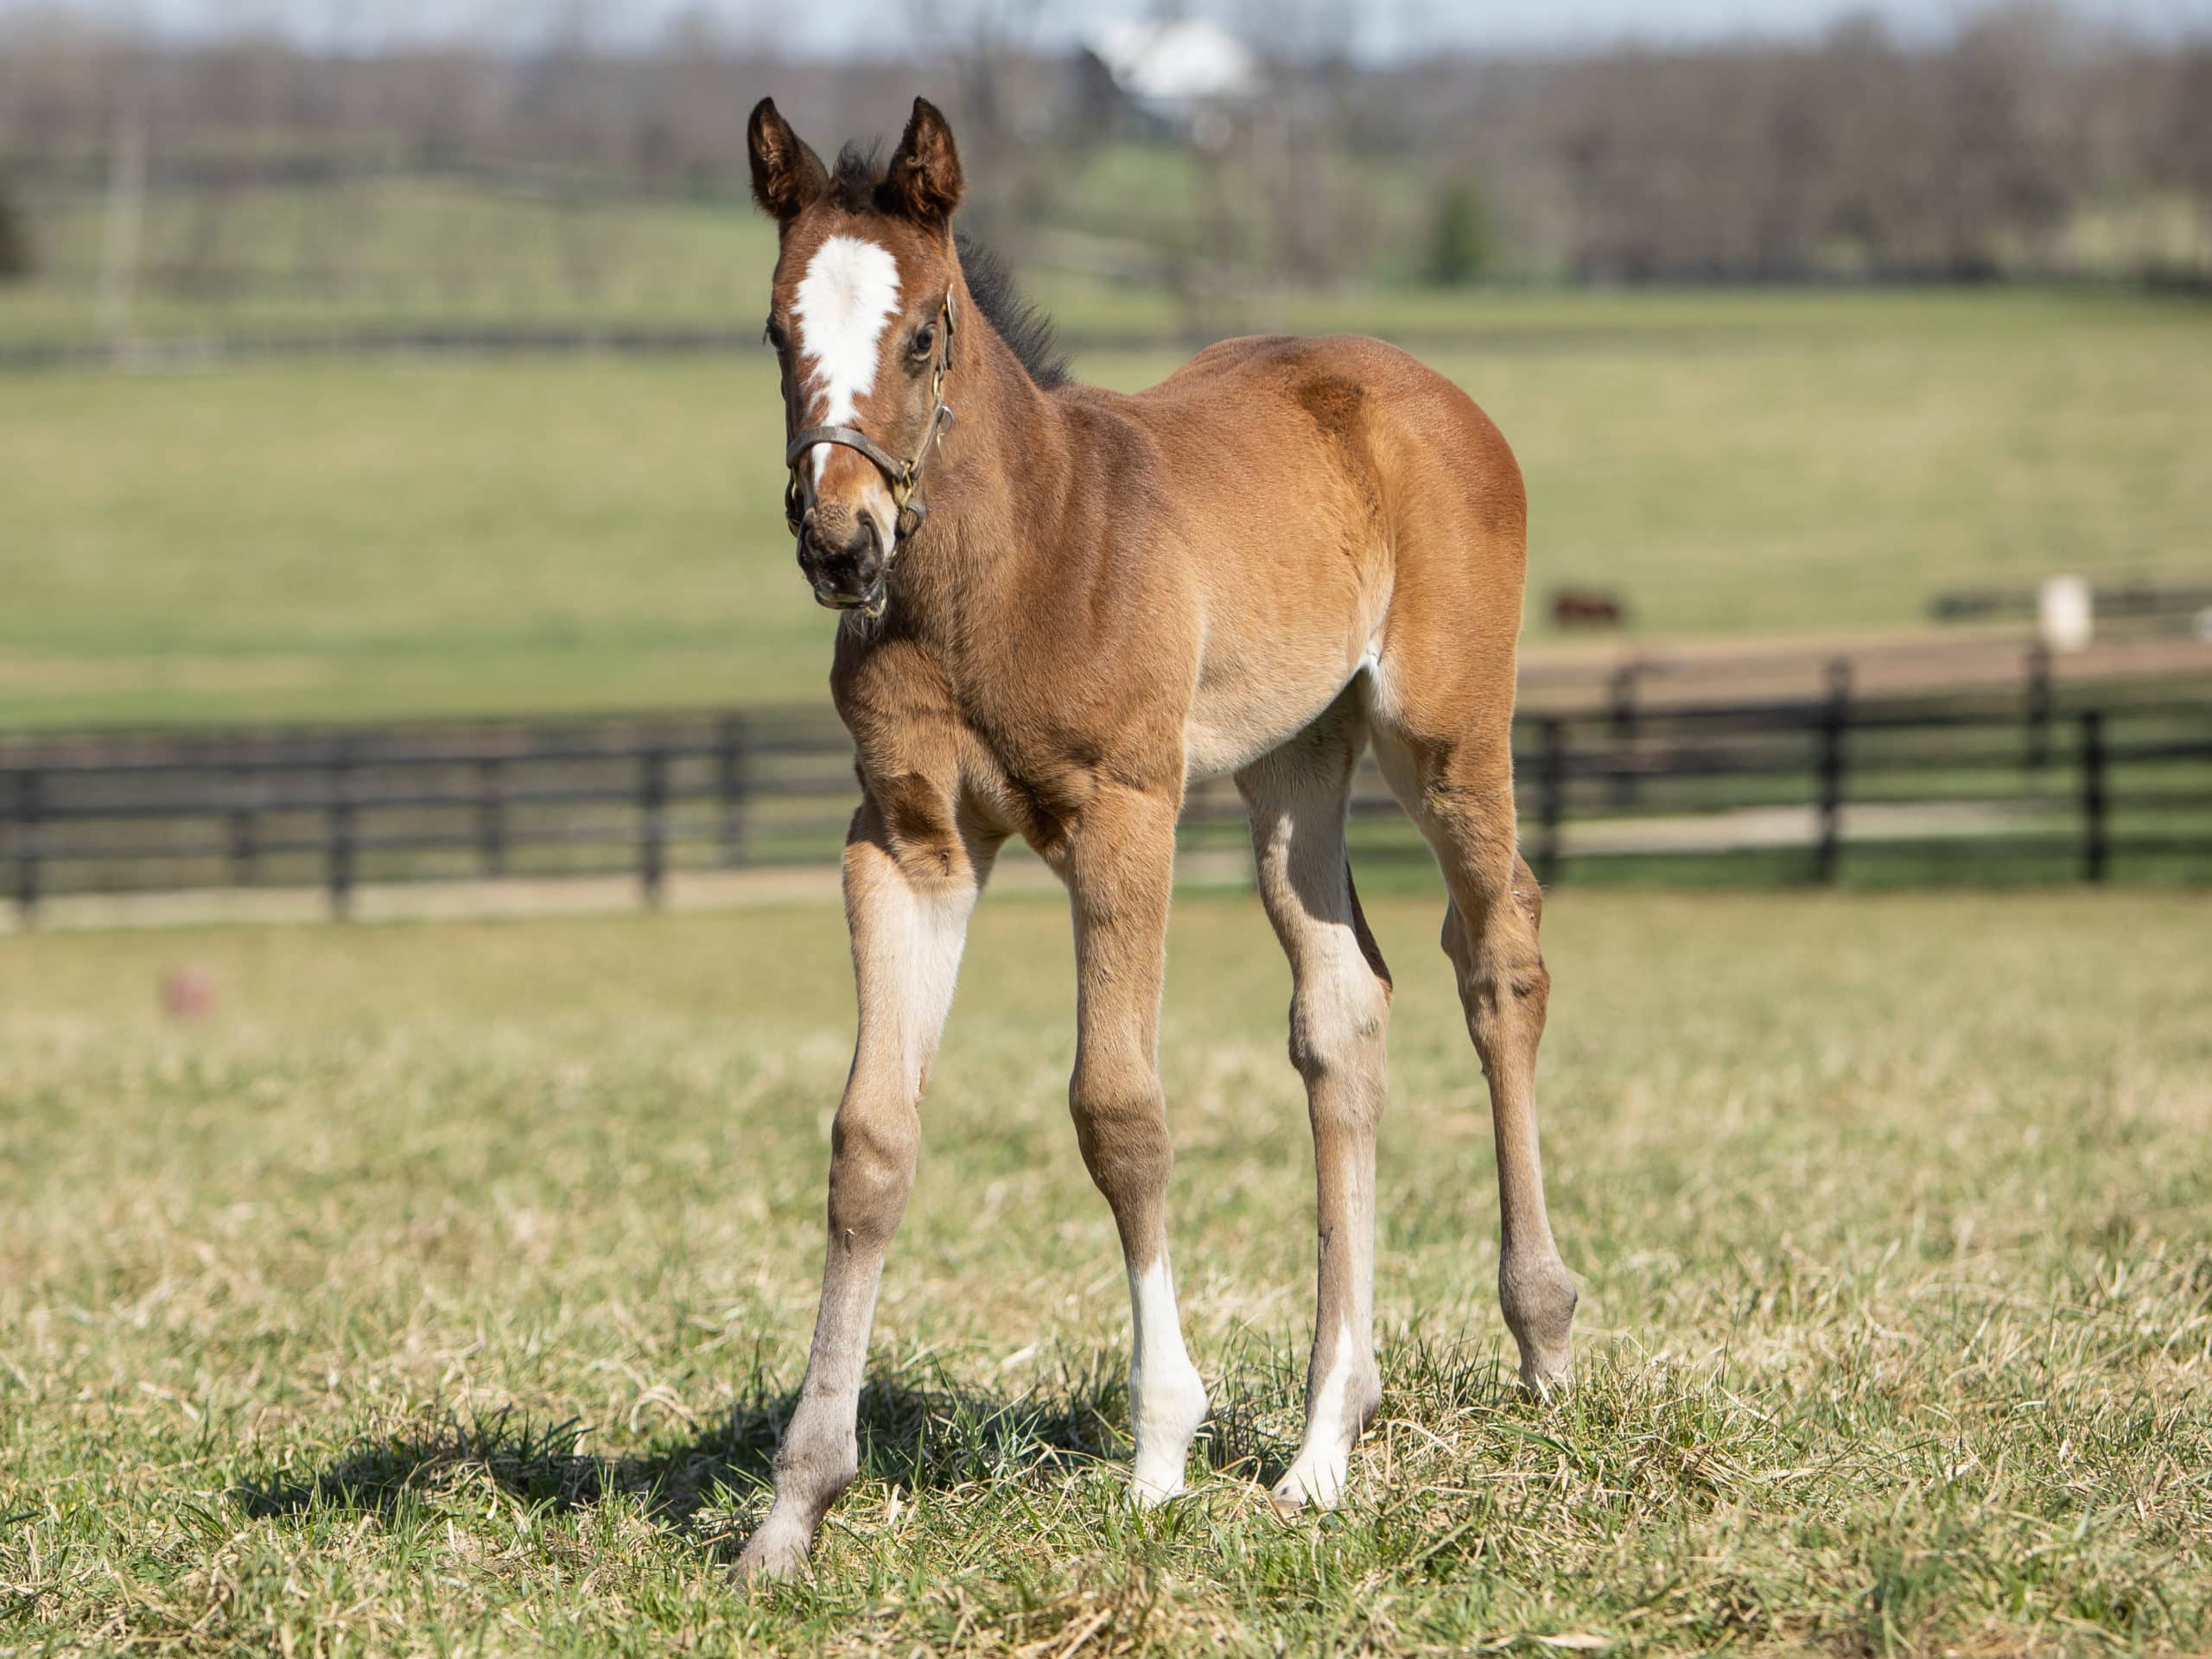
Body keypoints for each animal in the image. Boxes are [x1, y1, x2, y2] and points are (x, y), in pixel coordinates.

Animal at [734, 96, 1578, 1581]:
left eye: (926, 333)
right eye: (778, 332)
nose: (842, 541)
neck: (1013, 563)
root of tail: (1427, 390)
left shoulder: (1125, 811)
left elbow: (1118, 1110)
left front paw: (1161, 1452)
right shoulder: (906, 841)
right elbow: (870, 1139)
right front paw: (795, 1507)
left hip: (1443, 732)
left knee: (1501, 959)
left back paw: (1539, 1338)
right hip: (1293, 764)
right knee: (1343, 1005)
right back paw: (1323, 1446)